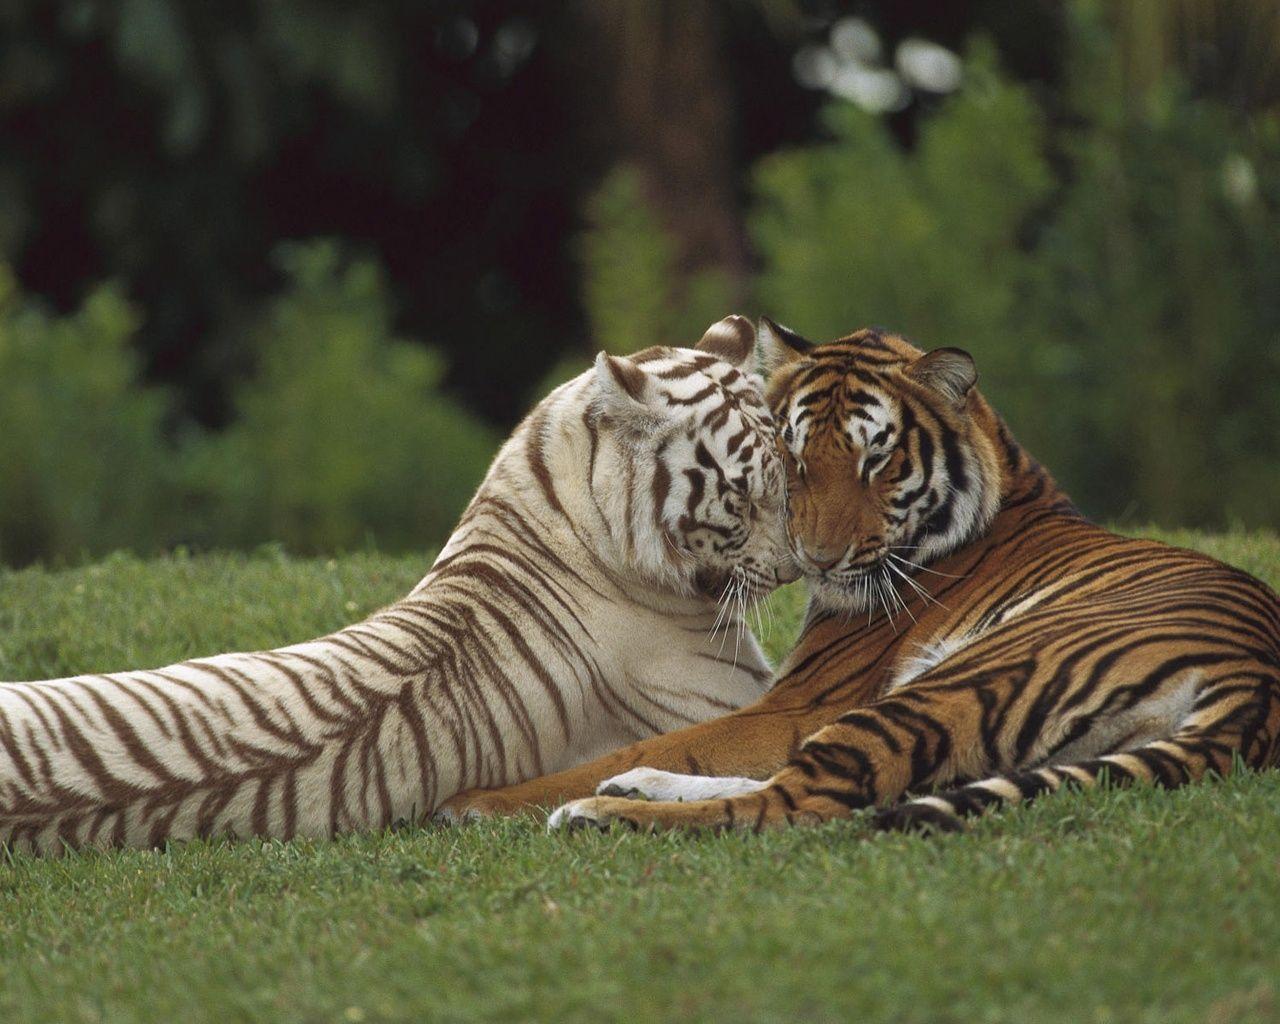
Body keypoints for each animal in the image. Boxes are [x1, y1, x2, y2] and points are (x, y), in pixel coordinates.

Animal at [436, 319, 1280, 835]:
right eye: (793, 453)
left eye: (878, 458)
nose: (814, 559)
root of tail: (1257, 685)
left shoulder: (801, 702)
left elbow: (668, 744)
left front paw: (480, 802)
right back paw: (629, 790)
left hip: (959, 680)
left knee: (799, 802)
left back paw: (602, 812)